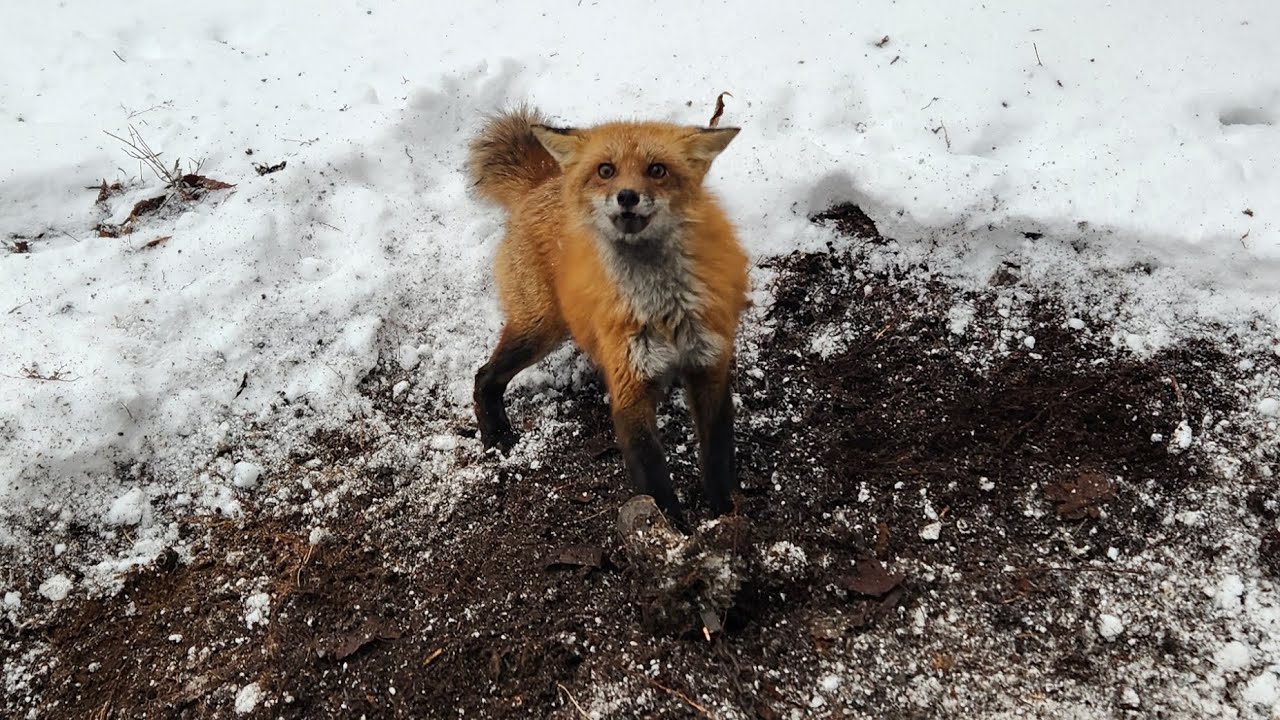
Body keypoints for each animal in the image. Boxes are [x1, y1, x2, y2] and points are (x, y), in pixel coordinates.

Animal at [466, 105, 750, 526]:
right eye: (606, 170)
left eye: (657, 170)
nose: (627, 196)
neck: (663, 308)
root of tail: (542, 183)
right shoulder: (628, 387)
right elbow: (653, 479)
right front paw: (674, 532)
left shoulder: (709, 367)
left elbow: (716, 456)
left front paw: (724, 515)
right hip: (540, 330)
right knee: (484, 376)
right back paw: (495, 435)